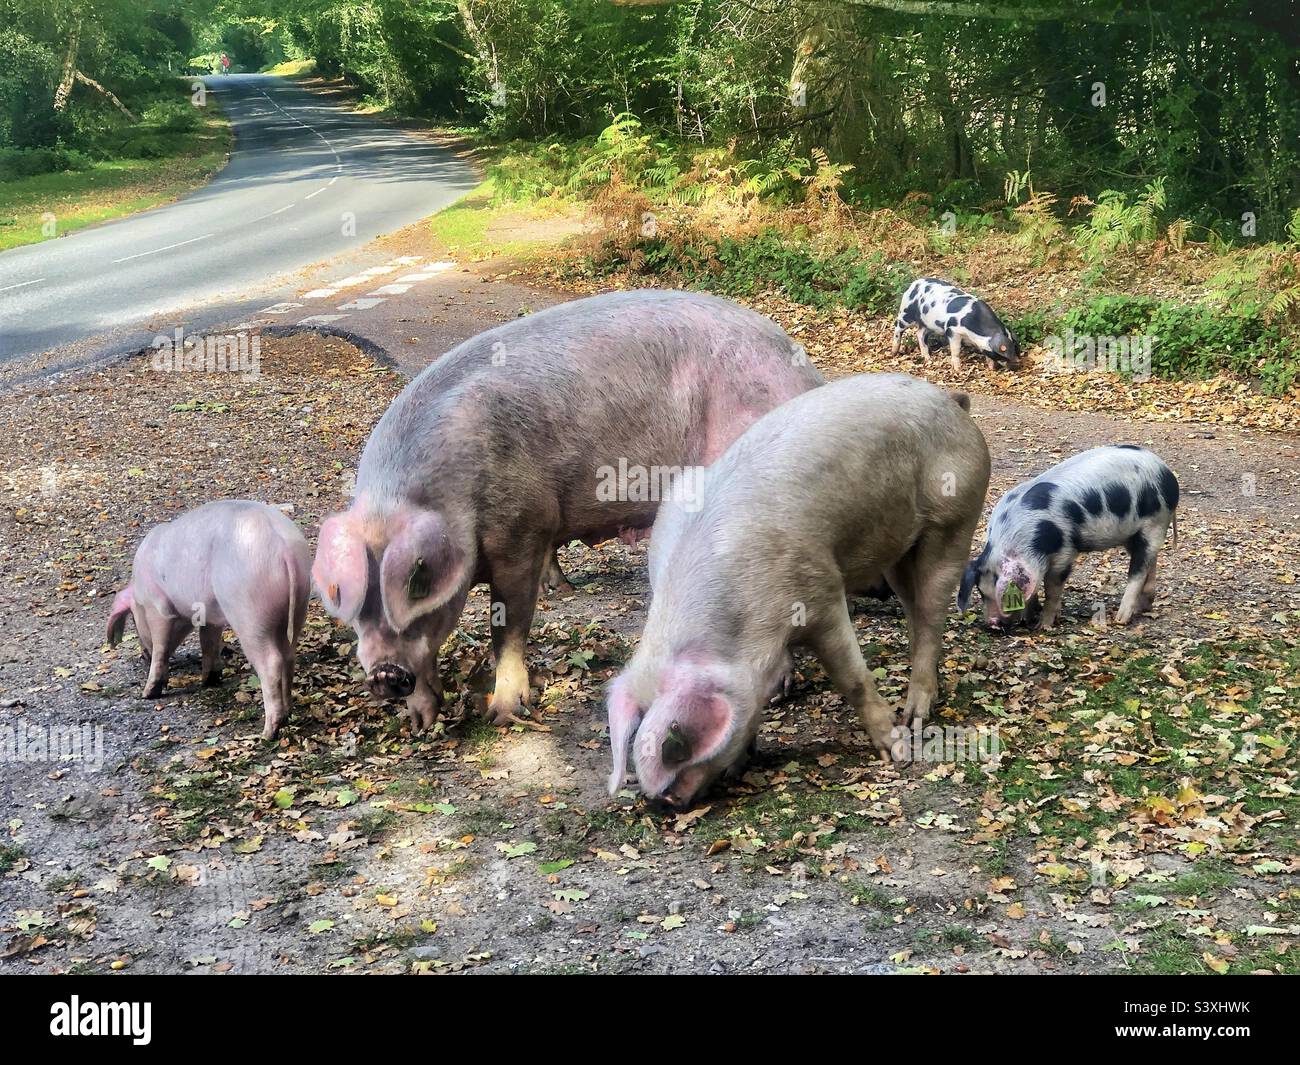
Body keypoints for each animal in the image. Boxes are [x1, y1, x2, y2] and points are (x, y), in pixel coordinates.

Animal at [106, 500, 311, 738]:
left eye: (134, 620)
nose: (142, 656)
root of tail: (283, 547)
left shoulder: (158, 607)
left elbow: (161, 646)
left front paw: (148, 693)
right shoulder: (210, 615)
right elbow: (208, 642)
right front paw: (209, 680)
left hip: (250, 612)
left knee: (272, 661)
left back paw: (268, 733)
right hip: (297, 606)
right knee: (289, 655)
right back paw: (287, 715)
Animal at [312, 290, 825, 731]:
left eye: (417, 581)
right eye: (350, 598)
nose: (383, 675)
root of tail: (805, 372)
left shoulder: (521, 531)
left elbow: (508, 626)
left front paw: (503, 714)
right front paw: (423, 724)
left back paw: (779, 691)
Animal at [607, 373, 990, 808]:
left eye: (677, 745)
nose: (665, 803)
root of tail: (950, 401)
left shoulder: (819, 592)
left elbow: (853, 678)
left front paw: (897, 754)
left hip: (954, 518)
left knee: (931, 612)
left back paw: (914, 717)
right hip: (897, 547)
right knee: (912, 608)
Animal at [891, 278, 1020, 372]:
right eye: (1003, 355)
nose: (1016, 366)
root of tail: (914, 284)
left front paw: (991, 368)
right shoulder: (952, 330)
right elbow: (956, 349)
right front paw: (958, 369)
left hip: (928, 324)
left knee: (920, 334)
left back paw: (927, 358)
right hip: (906, 313)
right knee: (897, 328)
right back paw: (893, 352)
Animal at [957, 445, 1179, 630]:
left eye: (1004, 594)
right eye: (981, 592)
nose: (992, 623)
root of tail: (1167, 472)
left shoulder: (1064, 552)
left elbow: (1052, 589)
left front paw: (1043, 626)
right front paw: (1029, 618)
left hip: (1155, 523)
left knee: (1138, 570)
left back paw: (1121, 619)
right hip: (1133, 534)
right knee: (1149, 561)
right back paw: (1144, 606)